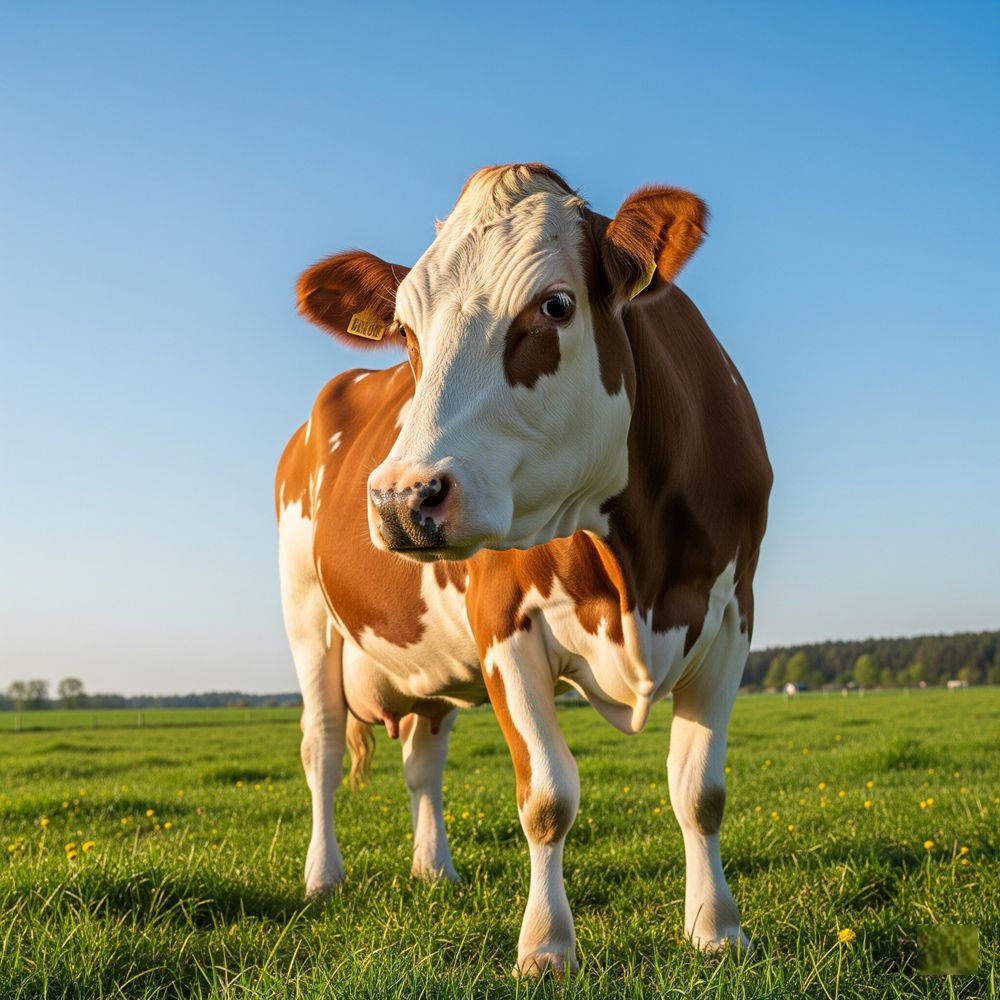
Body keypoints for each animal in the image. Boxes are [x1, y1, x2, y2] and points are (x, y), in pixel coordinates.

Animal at [275, 164, 771, 975]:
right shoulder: (504, 626)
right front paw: (546, 945)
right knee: (321, 745)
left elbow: (700, 789)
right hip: (307, 614)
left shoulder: (733, 615)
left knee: (423, 756)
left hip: (426, 662)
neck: (636, 570)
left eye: (556, 304)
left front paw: (717, 929)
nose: (402, 497)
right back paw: (324, 878)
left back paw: (434, 871)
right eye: (406, 330)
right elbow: (547, 796)